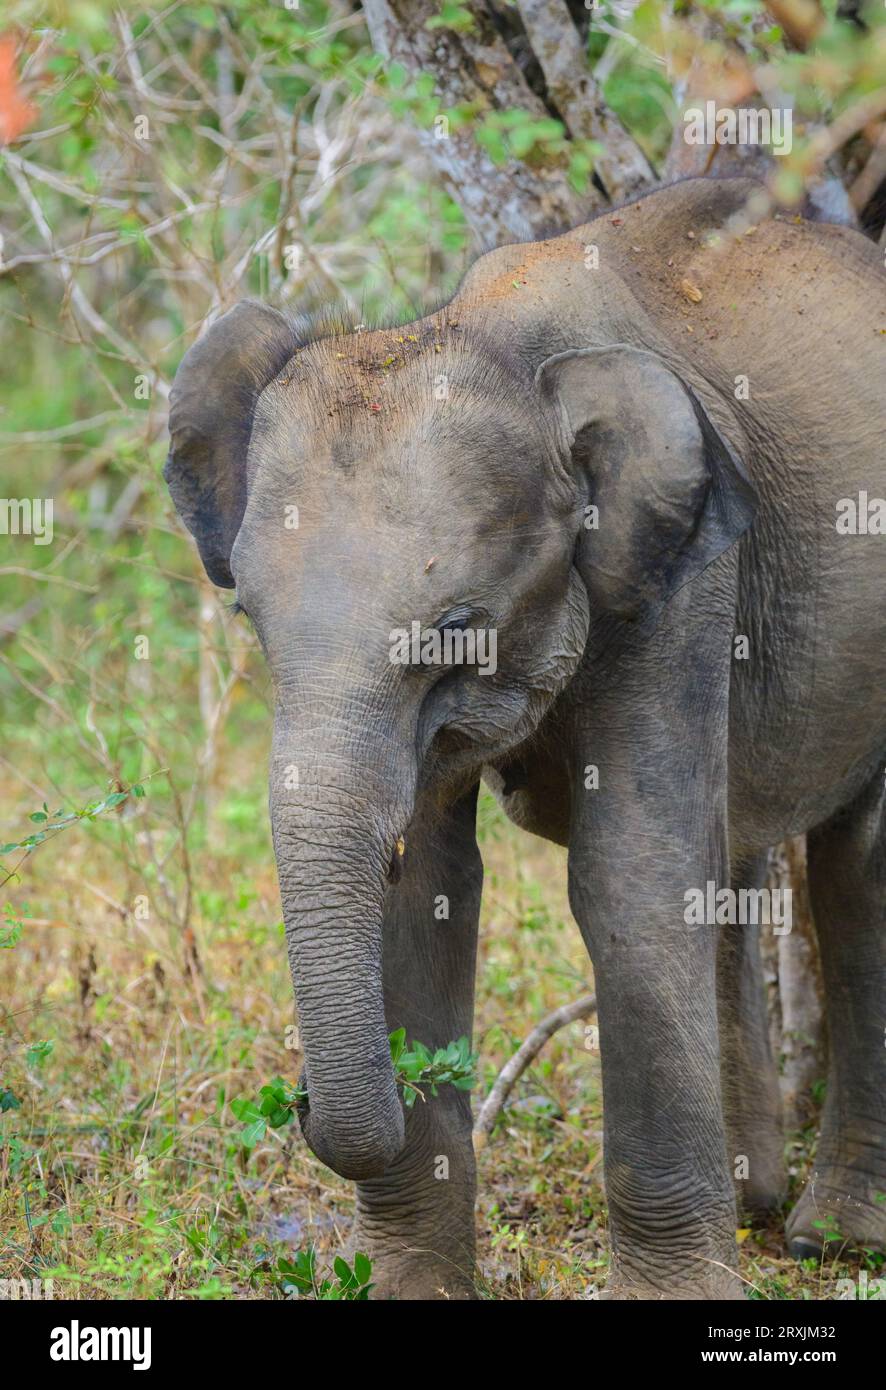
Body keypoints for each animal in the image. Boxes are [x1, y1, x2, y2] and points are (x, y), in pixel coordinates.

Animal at [164, 176, 886, 1300]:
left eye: (456, 630)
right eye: (250, 619)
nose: (302, 1101)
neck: (490, 333)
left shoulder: (682, 580)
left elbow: (630, 878)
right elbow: (430, 884)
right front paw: (413, 1289)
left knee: (851, 867)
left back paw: (832, 1238)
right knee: (734, 854)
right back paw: (755, 1200)